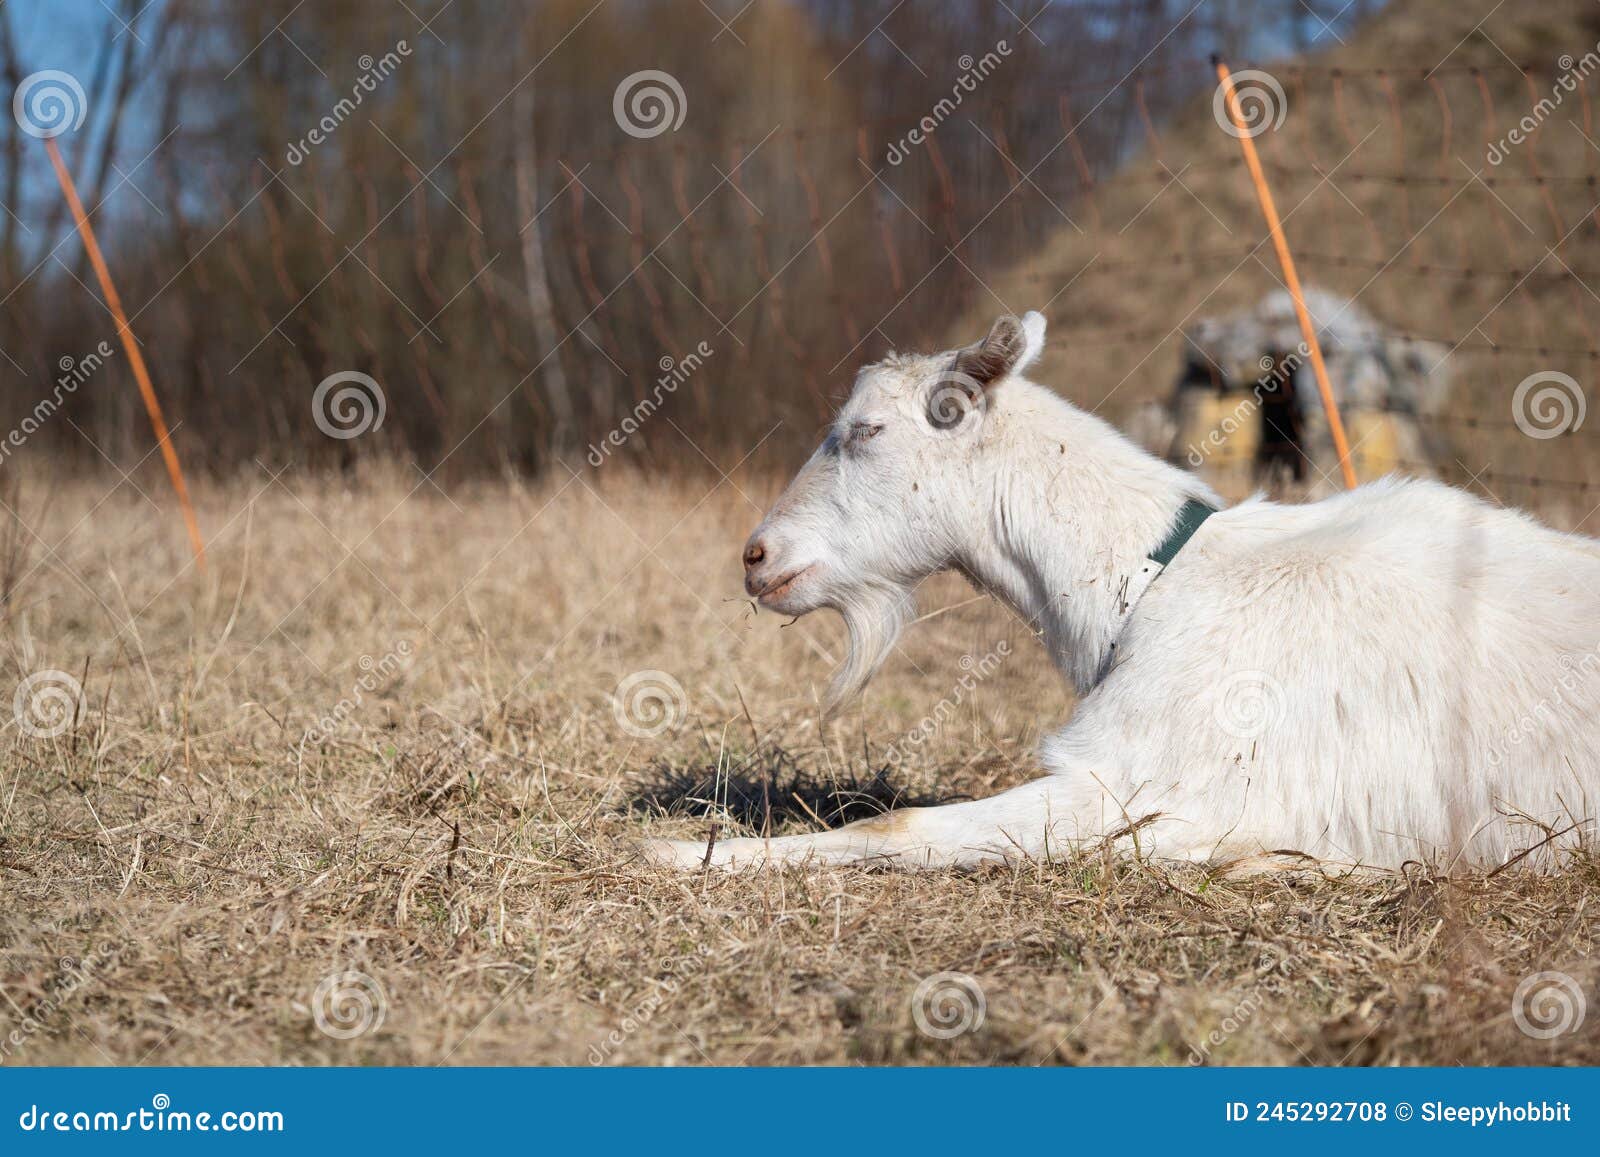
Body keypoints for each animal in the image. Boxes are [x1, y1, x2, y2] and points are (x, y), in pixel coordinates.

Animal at [647, 311, 1600, 872]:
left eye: (866, 430)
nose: (757, 556)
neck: (1158, 580)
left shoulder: (1139, 784)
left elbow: (894, 826)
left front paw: (683, 853)